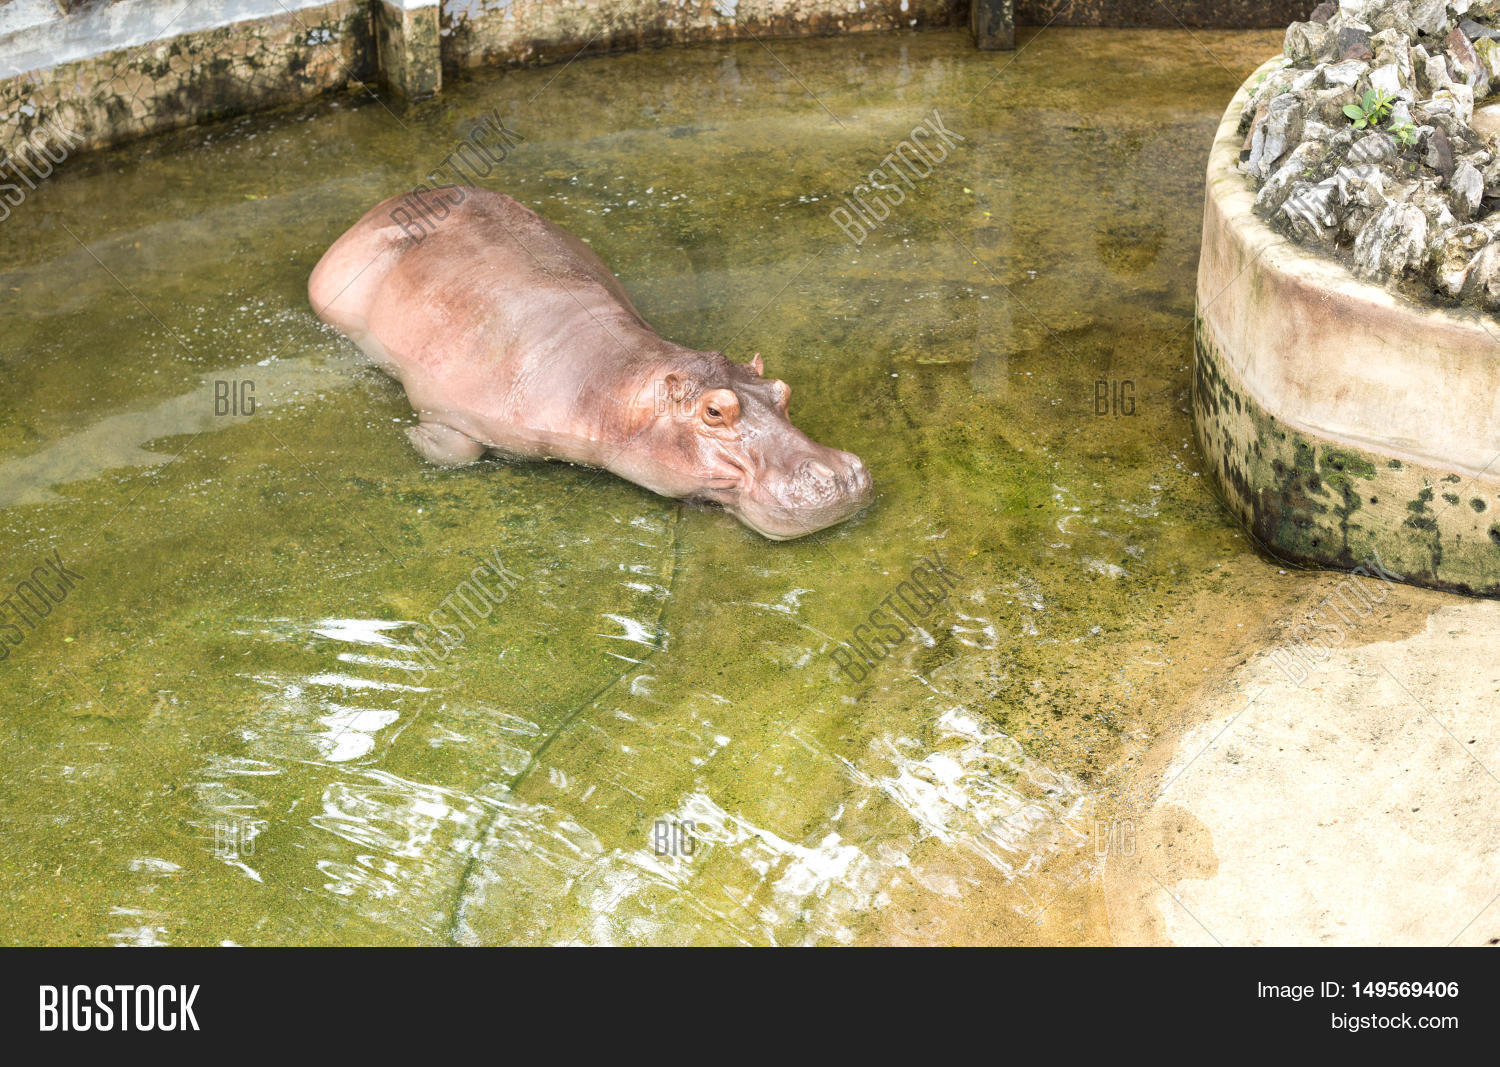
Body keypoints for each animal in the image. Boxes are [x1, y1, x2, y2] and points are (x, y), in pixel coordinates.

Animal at [308, 186, 871, 540]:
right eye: (714, 412)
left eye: (783, 391)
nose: (839, 477)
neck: (615, 383)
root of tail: (390, 202)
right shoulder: (455, 406)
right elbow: (456, 449)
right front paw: (417, 437)